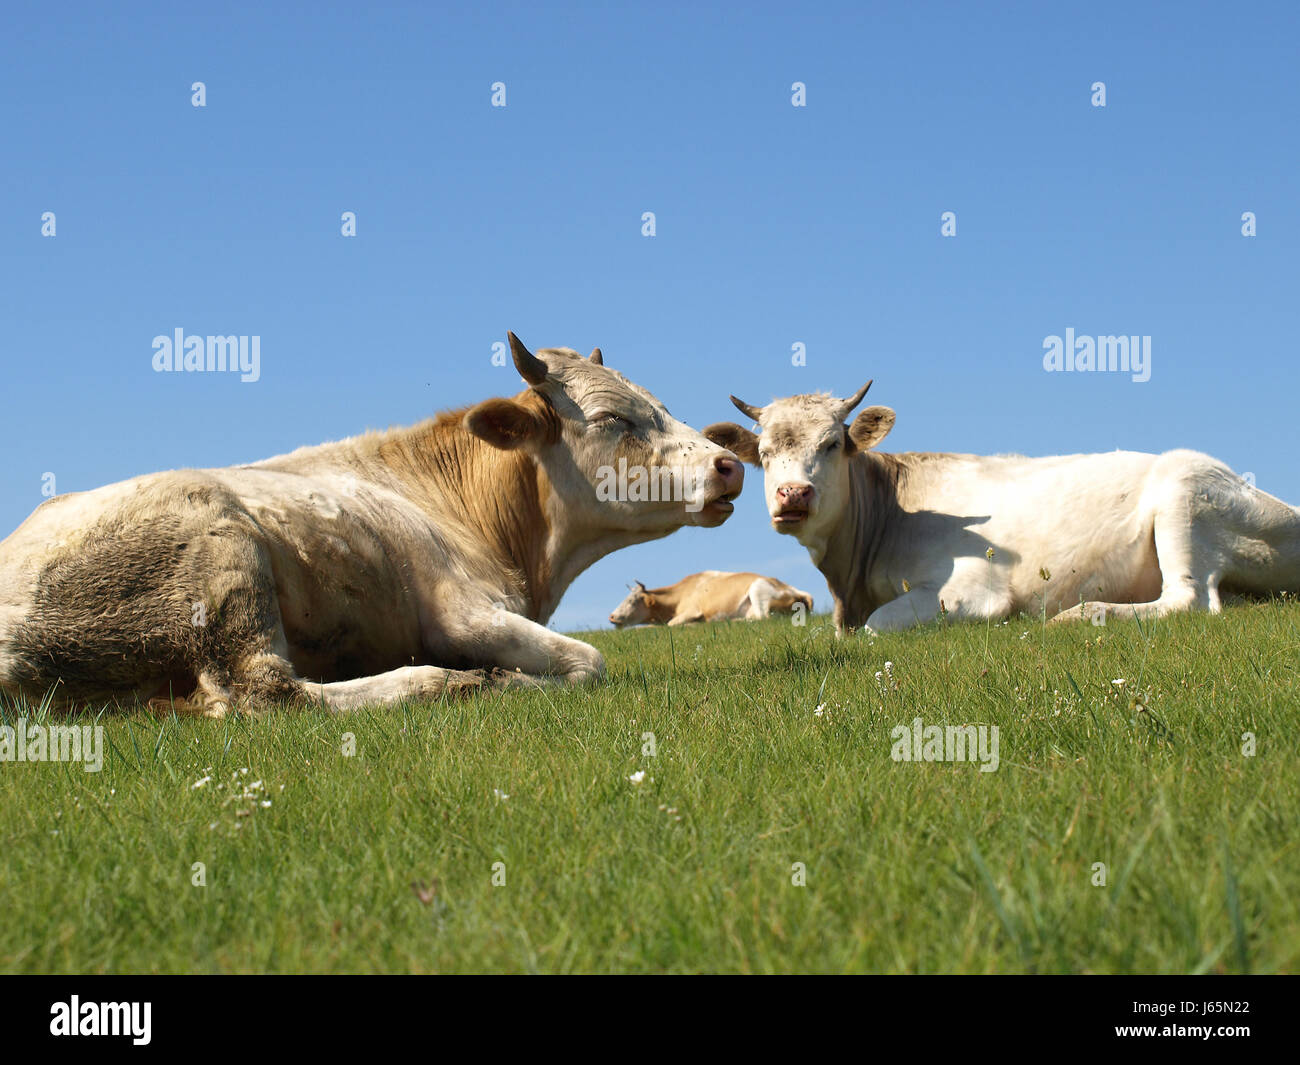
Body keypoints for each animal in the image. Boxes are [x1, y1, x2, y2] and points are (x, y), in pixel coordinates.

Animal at [0, 334, 744, 714]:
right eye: (616, 418)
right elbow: (592, 661)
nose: (729, 463)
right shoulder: (464, 613)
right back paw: (448, 682)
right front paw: (505, 675)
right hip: (224, 554)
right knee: (268, 693)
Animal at [608, 571, 813, 627]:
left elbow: (670, 624)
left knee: (763, 617)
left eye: (632, 601)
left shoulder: (692, 610)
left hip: (758, 588)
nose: (611, 616)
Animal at [703, 383, 1300, 633]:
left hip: (1184, 492)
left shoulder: (969, 590)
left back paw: (1083, 614)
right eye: (764, 453)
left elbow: (876, 626)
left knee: (1190, 599)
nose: (793, 496)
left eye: (831, 444)